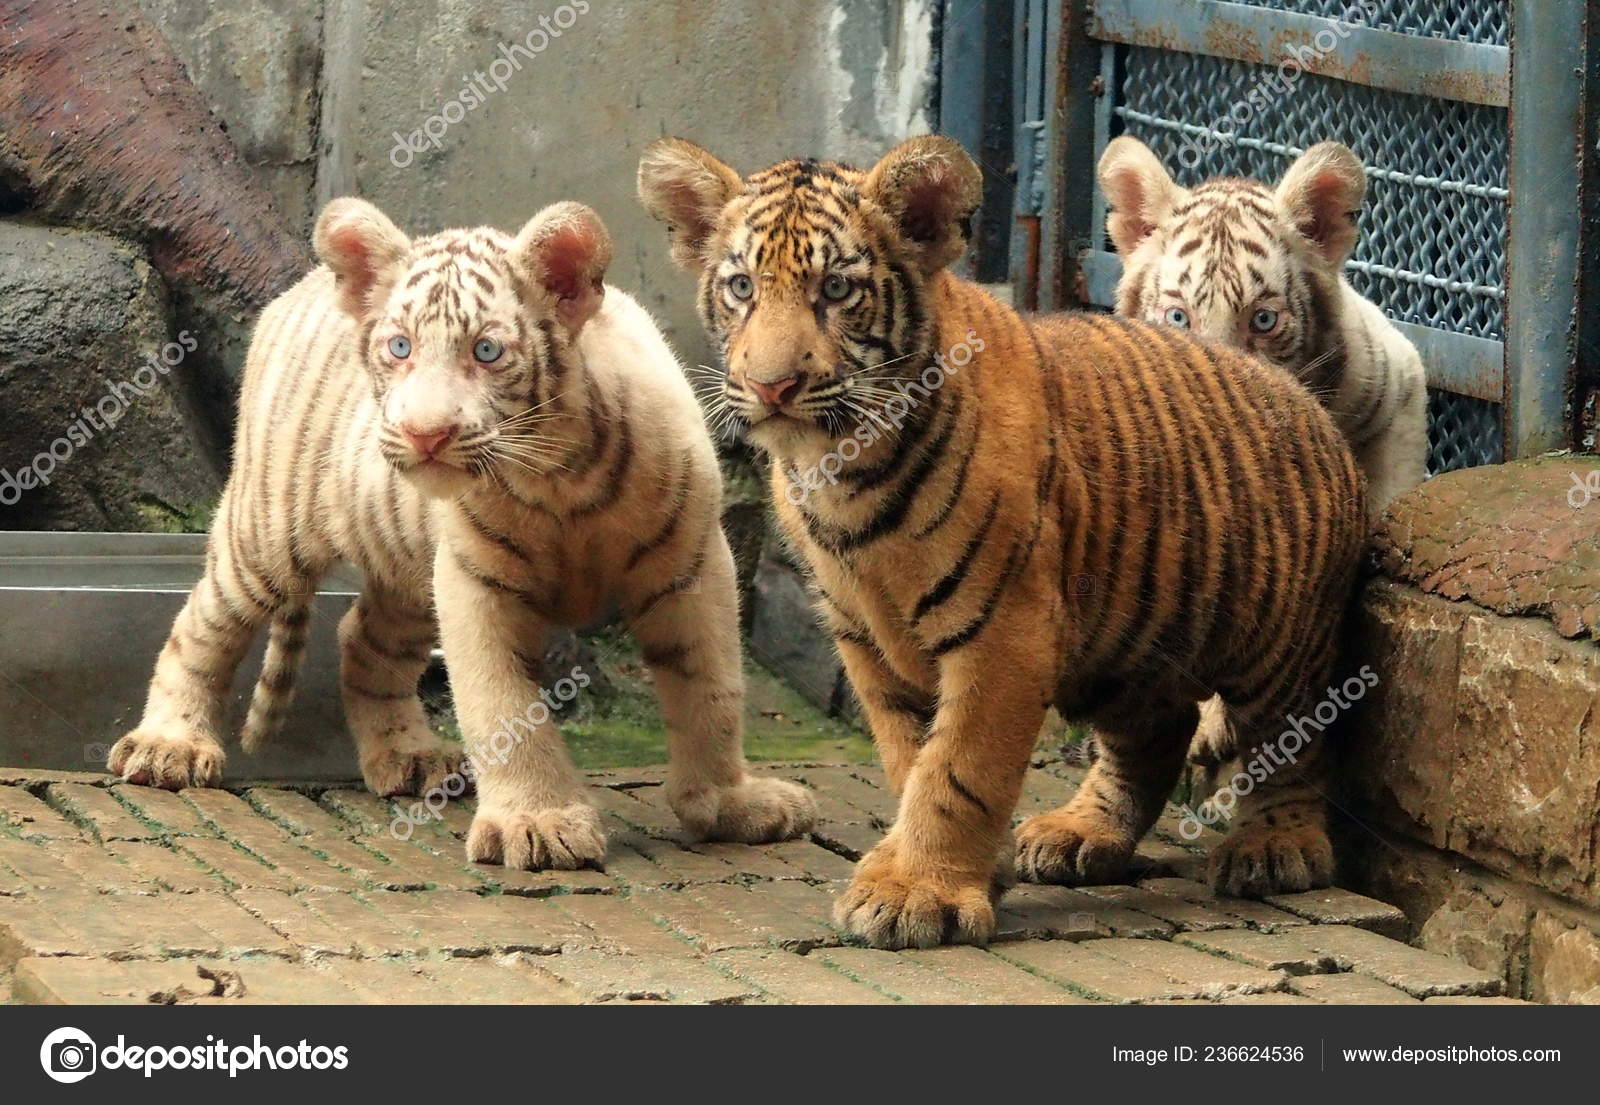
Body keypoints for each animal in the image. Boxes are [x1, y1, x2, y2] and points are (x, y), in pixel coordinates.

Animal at [108, 196, 815, 870]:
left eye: (486, 351)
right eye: (400, 348)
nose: (425, 434)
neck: (560, 475)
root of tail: (299, 287)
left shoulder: (689, 564)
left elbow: (712, 692)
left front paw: (728, 805)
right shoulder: (478, 581)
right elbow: (500, 705)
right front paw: (538, 824)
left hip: (407, 568)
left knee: (362, 640)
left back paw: (409, 757)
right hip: (267, 530)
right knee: (201, 627)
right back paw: (169, 747)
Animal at [640, 134, 1367, 948]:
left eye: (835, 289)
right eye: (741, 287)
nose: (771, 387)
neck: (839, 471)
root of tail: (1303, 397)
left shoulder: (1003, 631)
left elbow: (958, 767)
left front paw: (917, 893)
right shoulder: (865, 639)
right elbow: (912, 760)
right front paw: (958, 871)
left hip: (1278, 637)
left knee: (1293, 740)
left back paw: (1273, 848)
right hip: (1127, 638)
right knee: (1156, 730)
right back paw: (1082, 834)